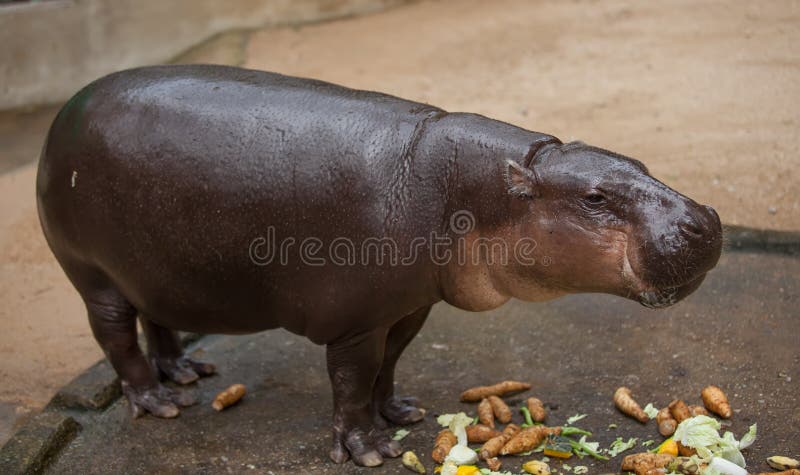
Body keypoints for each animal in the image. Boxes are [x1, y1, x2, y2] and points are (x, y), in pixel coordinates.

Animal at [36, 65, 722, 467]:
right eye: (595, 198)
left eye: (638, 162)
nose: (707, 221)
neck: (476, 191)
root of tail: (65, 109)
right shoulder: (354, 321)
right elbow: (351, 380)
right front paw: (369, 449)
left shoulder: (409, 305)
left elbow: (389, 365)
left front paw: (403, 414)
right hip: (92, 272)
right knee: (116, 336)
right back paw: (159, 403)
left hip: (155, 267)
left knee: (158, 319)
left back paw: (185, 373)